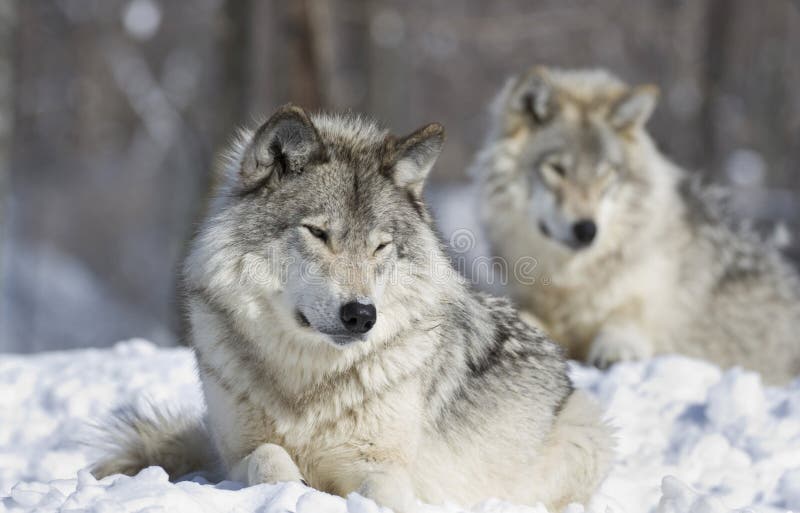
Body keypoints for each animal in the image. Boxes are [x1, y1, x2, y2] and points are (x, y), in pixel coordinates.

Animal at [91, 105, 613, 512]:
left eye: (381, 245)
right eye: (318, 233)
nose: (361, 315)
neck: (309, 383)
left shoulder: (382, 466)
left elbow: (380, 493)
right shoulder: (237, 452)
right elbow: (268, 459)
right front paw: (293, 491)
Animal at [474, 66, 800, 384]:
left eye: (605, 172)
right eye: (557, 169)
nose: (587, 230)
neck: (571, 281)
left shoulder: (647, 304)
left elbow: (626, 321)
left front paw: (615, 351)